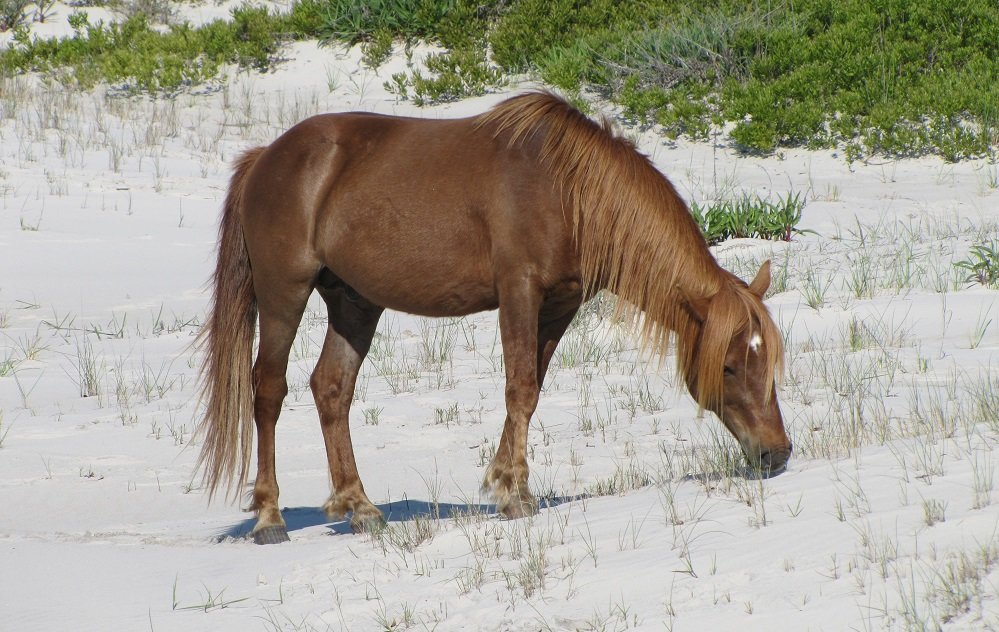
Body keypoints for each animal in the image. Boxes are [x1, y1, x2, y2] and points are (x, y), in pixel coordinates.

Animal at [195, 92, 792, 544]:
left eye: (768, 365)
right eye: (730, 367)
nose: (777, 454)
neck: (567, 190)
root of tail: (267, 156)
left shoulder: (559, 305)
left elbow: (531, 389)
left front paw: (504, 484)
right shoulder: (519, 292)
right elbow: (519, 389)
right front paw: (518, 495)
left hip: (354, 302)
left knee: (331, 389)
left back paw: (360, 507)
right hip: (284, 295)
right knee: (268, 391)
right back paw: (269, 517)